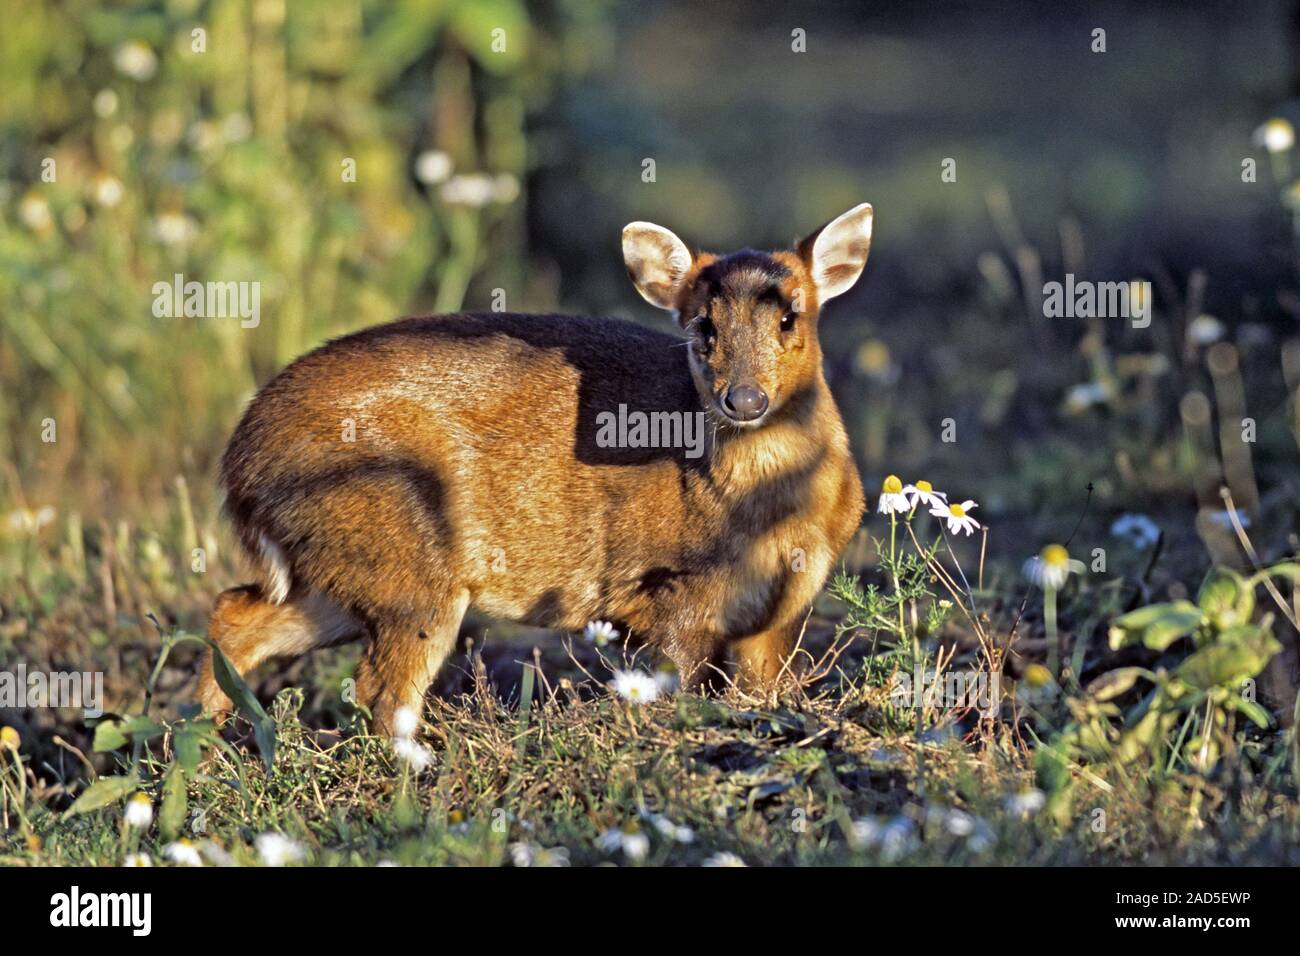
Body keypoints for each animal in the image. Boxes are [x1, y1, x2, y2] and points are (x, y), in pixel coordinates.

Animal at [197, 203, 872, 733]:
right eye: (702, 326)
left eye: (790, 316)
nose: (745, 399)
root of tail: (237, 467)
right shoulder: (675, 592)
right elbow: (683, 687)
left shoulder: (779, 617)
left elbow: (765, 692)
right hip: (402, 550)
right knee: (380, 690)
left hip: (339, 567)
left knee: (237, 613)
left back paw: (203, 746)